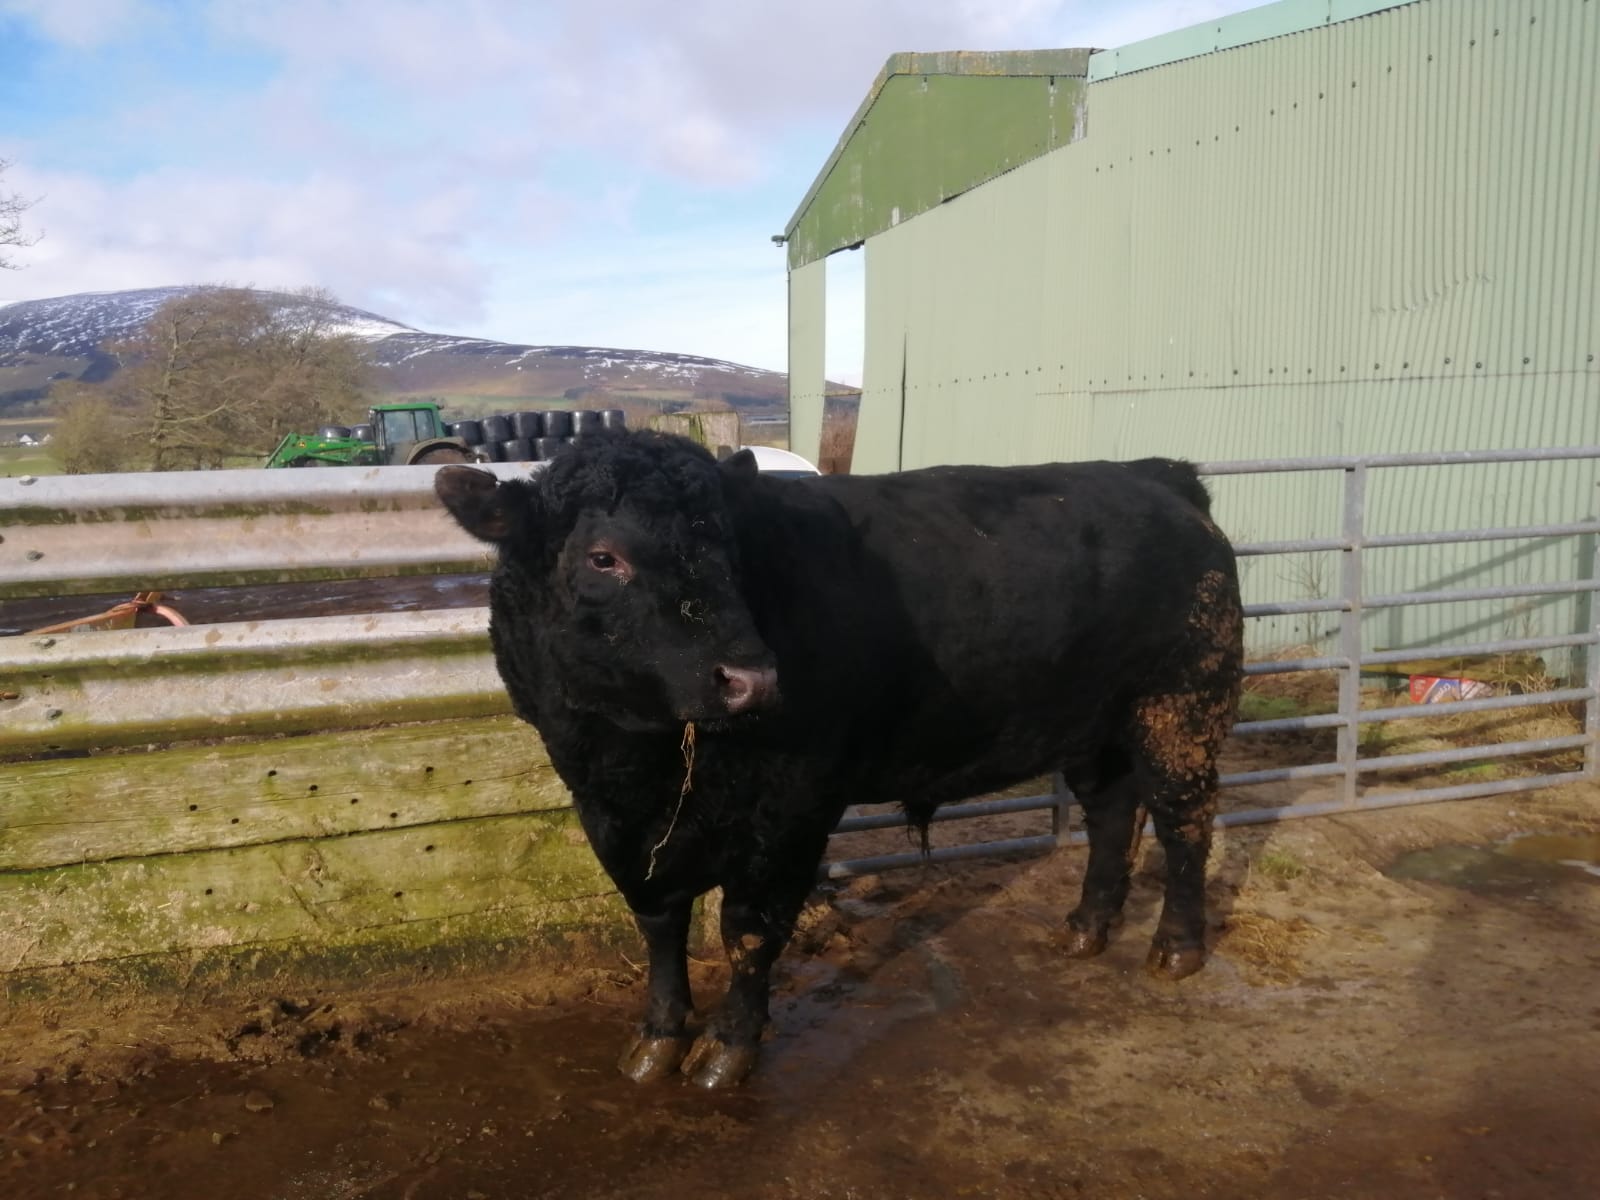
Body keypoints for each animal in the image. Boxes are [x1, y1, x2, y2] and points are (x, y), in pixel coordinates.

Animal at [434, 430, 1243, 1088]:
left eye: (728, 550)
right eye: (604, 558)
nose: (752, 679)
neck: (638, 759)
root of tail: (1154, 476)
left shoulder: (790, 812)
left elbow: (750, 930)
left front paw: (728, 1049)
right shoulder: (611, 816)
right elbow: (658, 921)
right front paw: (657, 1037)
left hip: (1183, 704)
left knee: (1184, 822)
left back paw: (1176, 947)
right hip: (1097, 727)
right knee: (1111, 814)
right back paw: (1085, 927)